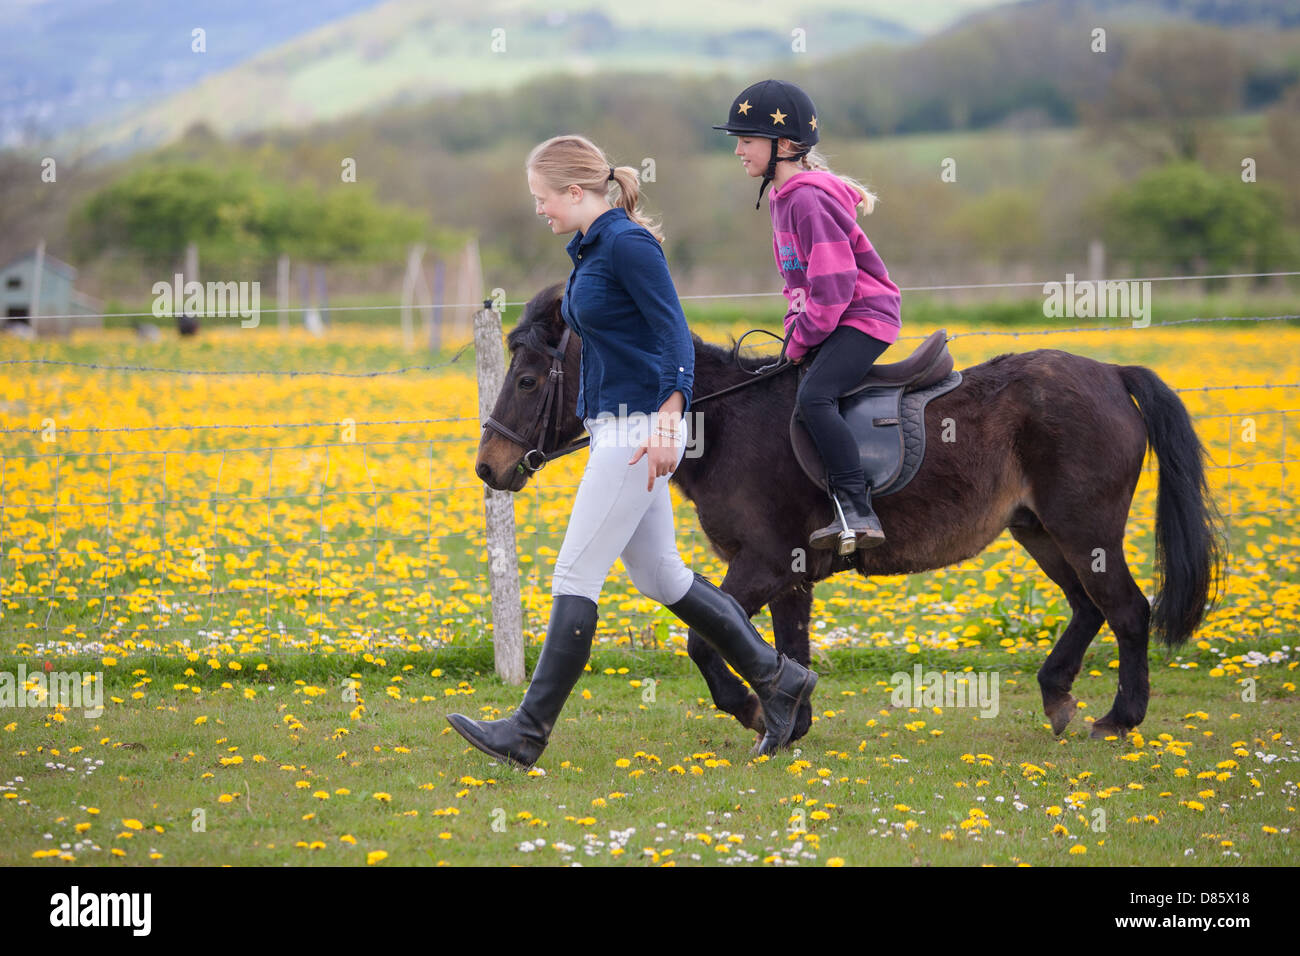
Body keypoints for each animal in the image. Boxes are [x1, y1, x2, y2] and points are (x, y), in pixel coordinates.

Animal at [474, 284, 1222, 744]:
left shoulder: (765, 563)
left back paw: (1118, 718)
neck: (724, 422)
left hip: (1084, 529)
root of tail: (1111, 374)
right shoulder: (790, 576)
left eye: (530, 379)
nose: (488, 467)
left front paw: (757, 713)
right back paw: (1059, 697)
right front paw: (790, 720)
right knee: (1090, 608)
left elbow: (704, 641)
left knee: (1127, 611)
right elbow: (787, 647)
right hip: (1039, 532)